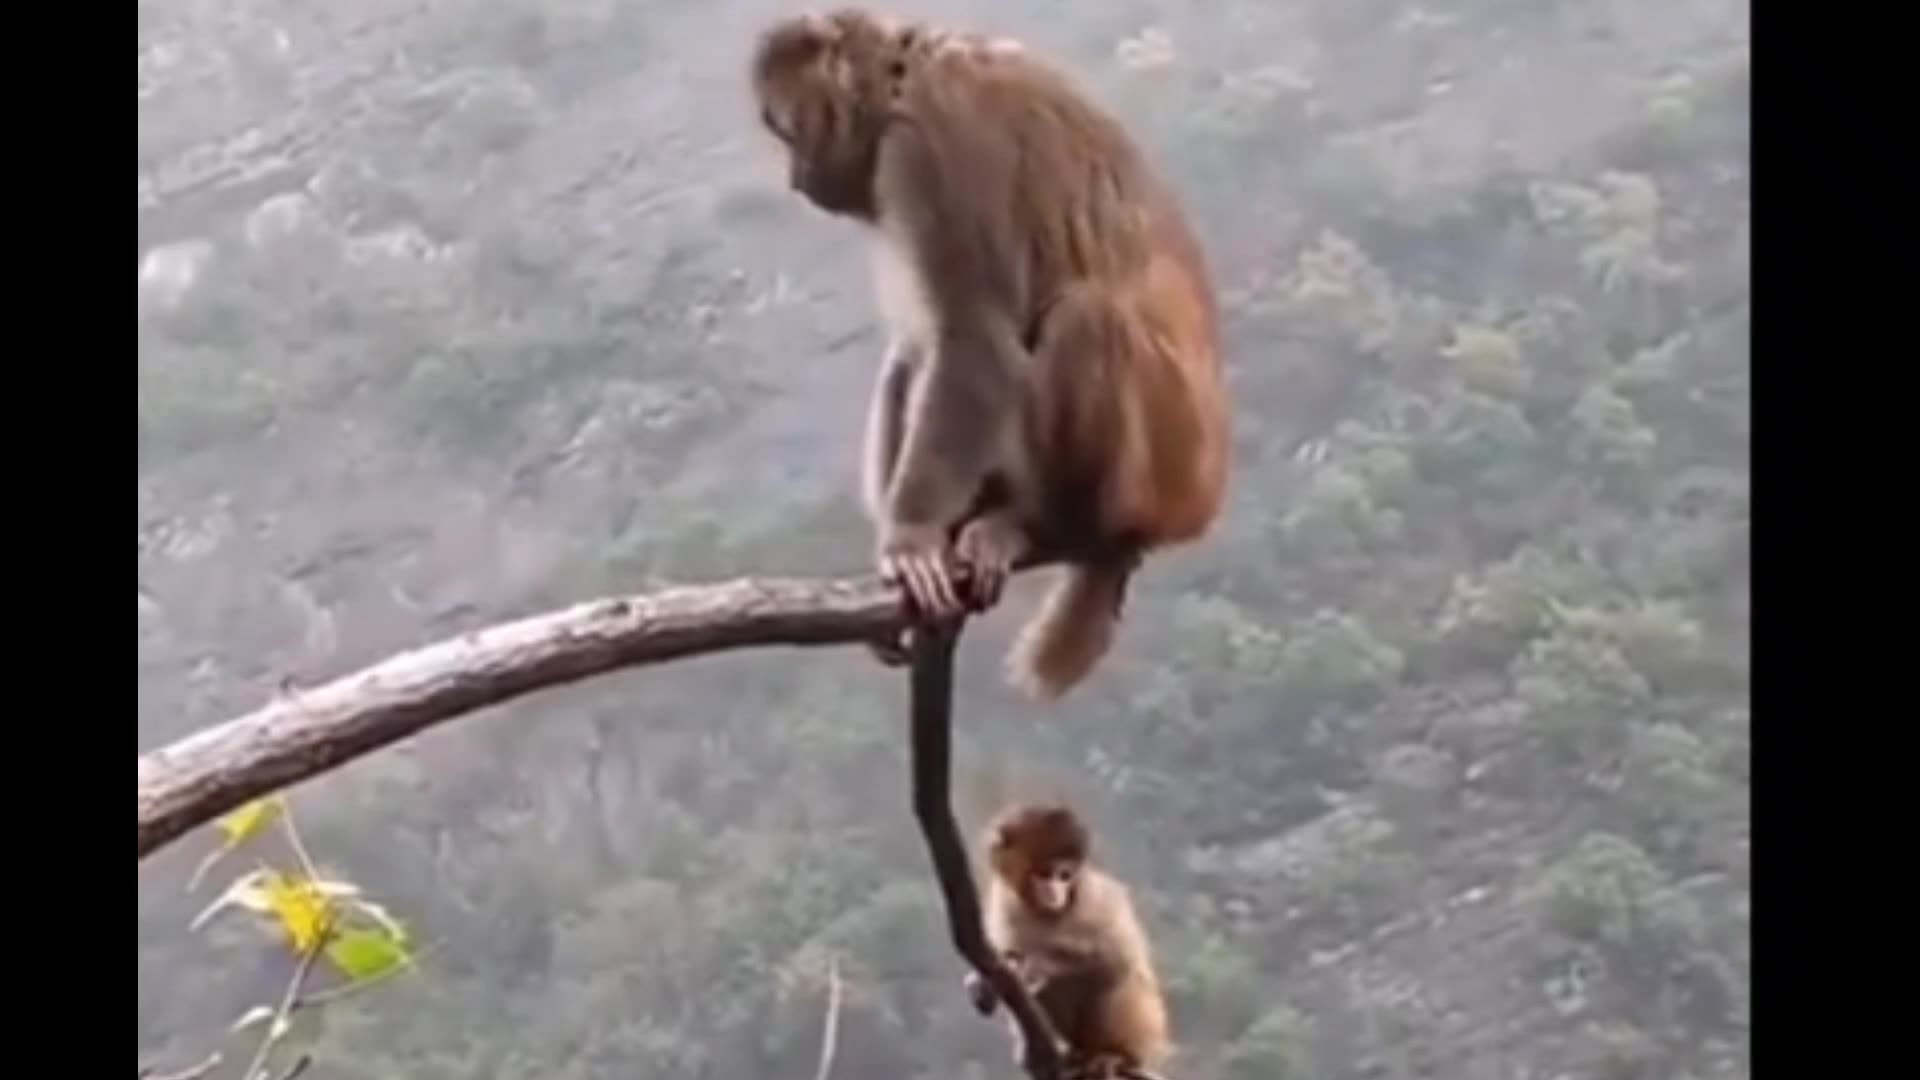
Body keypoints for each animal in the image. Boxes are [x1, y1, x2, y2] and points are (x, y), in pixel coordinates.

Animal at [750, 9, 1230, 700]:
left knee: (1087, 321)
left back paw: (1044, 524)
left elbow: (977, 345)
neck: (902, 76)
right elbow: (929, 347)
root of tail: (1196, 498)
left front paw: (910, 539)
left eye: (786, 130)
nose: (798, 179)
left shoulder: (926, 153)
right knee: (914, 359)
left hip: (1161, 470)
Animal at [964, 801, 1170, 1078]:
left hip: (1145, 1029)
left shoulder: (1094, 898)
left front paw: (1039, 966)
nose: (1056, 892)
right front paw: (983, 985)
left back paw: (1113, 1055)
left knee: (1113, 979)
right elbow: (1006, 957)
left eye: (1065, 875)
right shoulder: (1004, 900)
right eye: (1045, 874)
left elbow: (1117, 960)